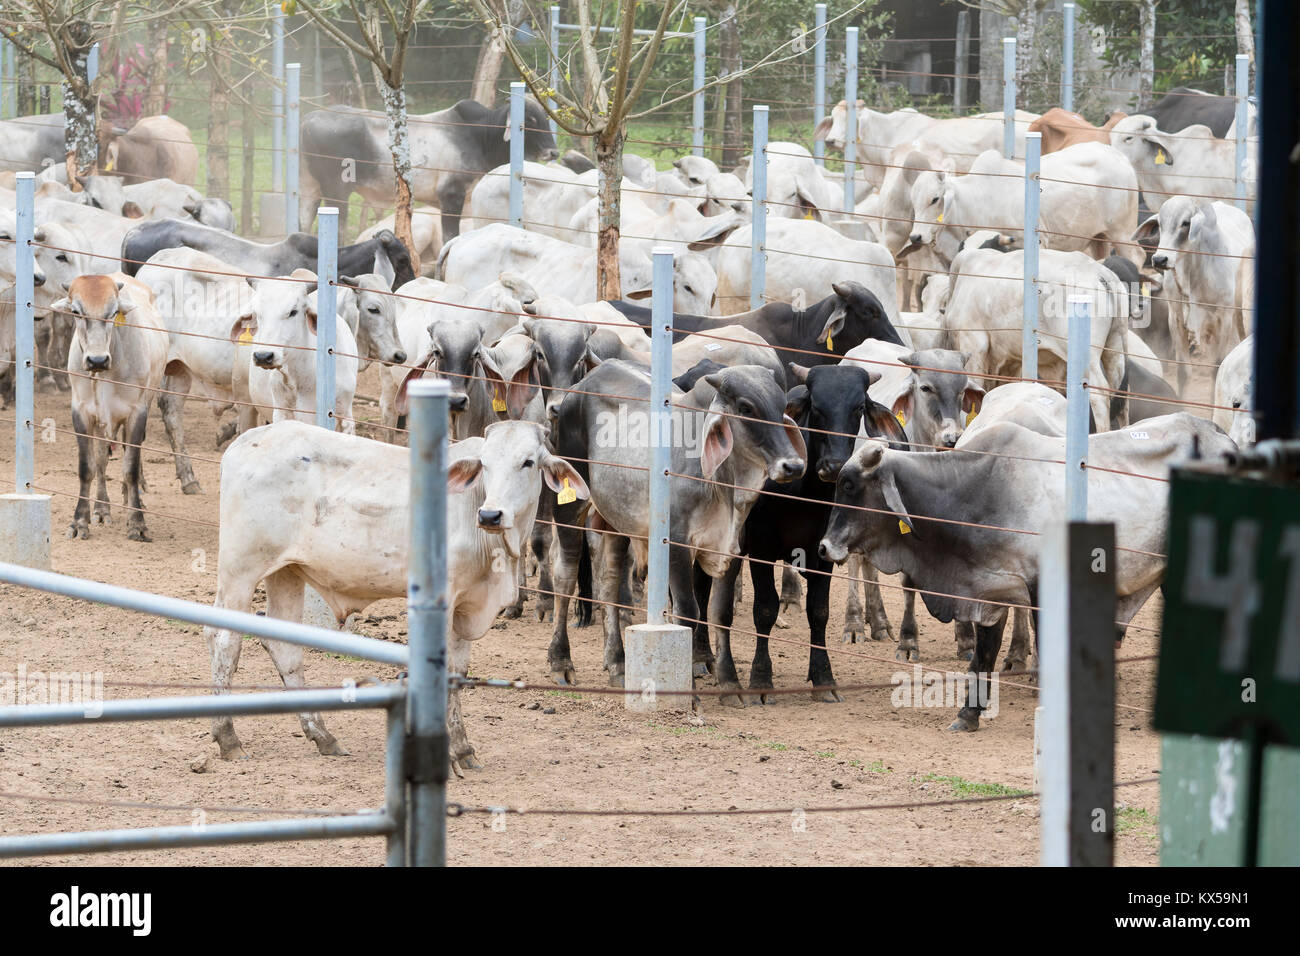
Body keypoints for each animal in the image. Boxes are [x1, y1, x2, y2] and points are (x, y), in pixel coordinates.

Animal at [52, 273, 168, 541]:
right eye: (76, 311)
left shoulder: (137, 412)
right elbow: (88, 467)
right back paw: (102, 508)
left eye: (114, 312)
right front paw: (79, 521)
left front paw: (137, 523)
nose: (97, 360)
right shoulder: (81, 412)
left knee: (128, 455)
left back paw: (132, 501)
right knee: (102, 460)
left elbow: (130, 468)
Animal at [206, 418, 586, 766]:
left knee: (284, 645)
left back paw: (322, 734)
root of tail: (249, 439)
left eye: (528, 462)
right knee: (224, 639)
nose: (491, 514)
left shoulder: (467, 604)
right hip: (240, 571)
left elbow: (459, 671)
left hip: (285, 571)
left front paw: (463, 749)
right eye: (485, 463)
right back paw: (228, 737)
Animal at [299, 98, 559, 238]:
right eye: (530, 120)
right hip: (336, 192)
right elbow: (450, 237)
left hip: (311, 188)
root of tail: (307, 119)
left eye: (545, 118)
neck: (481, 138)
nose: (554, 152)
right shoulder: (452, 196)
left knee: (303, 224)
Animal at [546, 361, 807, 685]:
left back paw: (617, 662)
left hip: (617, 519)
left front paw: (729, 680)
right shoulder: (676, 546)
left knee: (609, 582)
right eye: (746, 407)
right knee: (565, 575)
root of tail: (581, 384)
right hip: (569, 505)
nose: (793, 466)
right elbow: (687, 612)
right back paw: (561, 662)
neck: (722, 484)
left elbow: (721, 613)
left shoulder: (732, 549)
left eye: (781, 405)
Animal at [819, 413, 1237, 731]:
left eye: (849, 485)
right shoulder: (990, 590)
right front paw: (969, 714)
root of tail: (1221, 435)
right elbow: (983, 656)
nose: (824, 547)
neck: (970, 491)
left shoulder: (1041, 587)